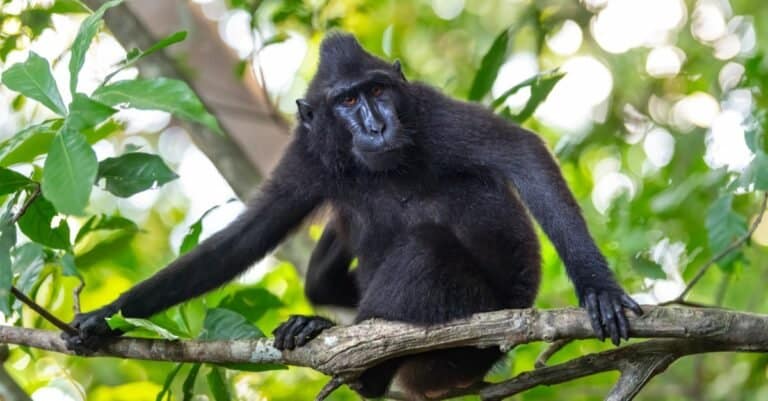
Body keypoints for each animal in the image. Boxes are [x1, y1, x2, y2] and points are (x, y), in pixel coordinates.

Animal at [63, 33, 642, 400]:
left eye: (378, 91)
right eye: (346, 102)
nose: (375, 124)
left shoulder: (432, 113)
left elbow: (522, 154)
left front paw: (598, 289)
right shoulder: (308, 152)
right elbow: (247, 236)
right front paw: (107, 316)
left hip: (482, 319)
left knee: (428, 250)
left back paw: (354, 355)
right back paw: (325, 333)